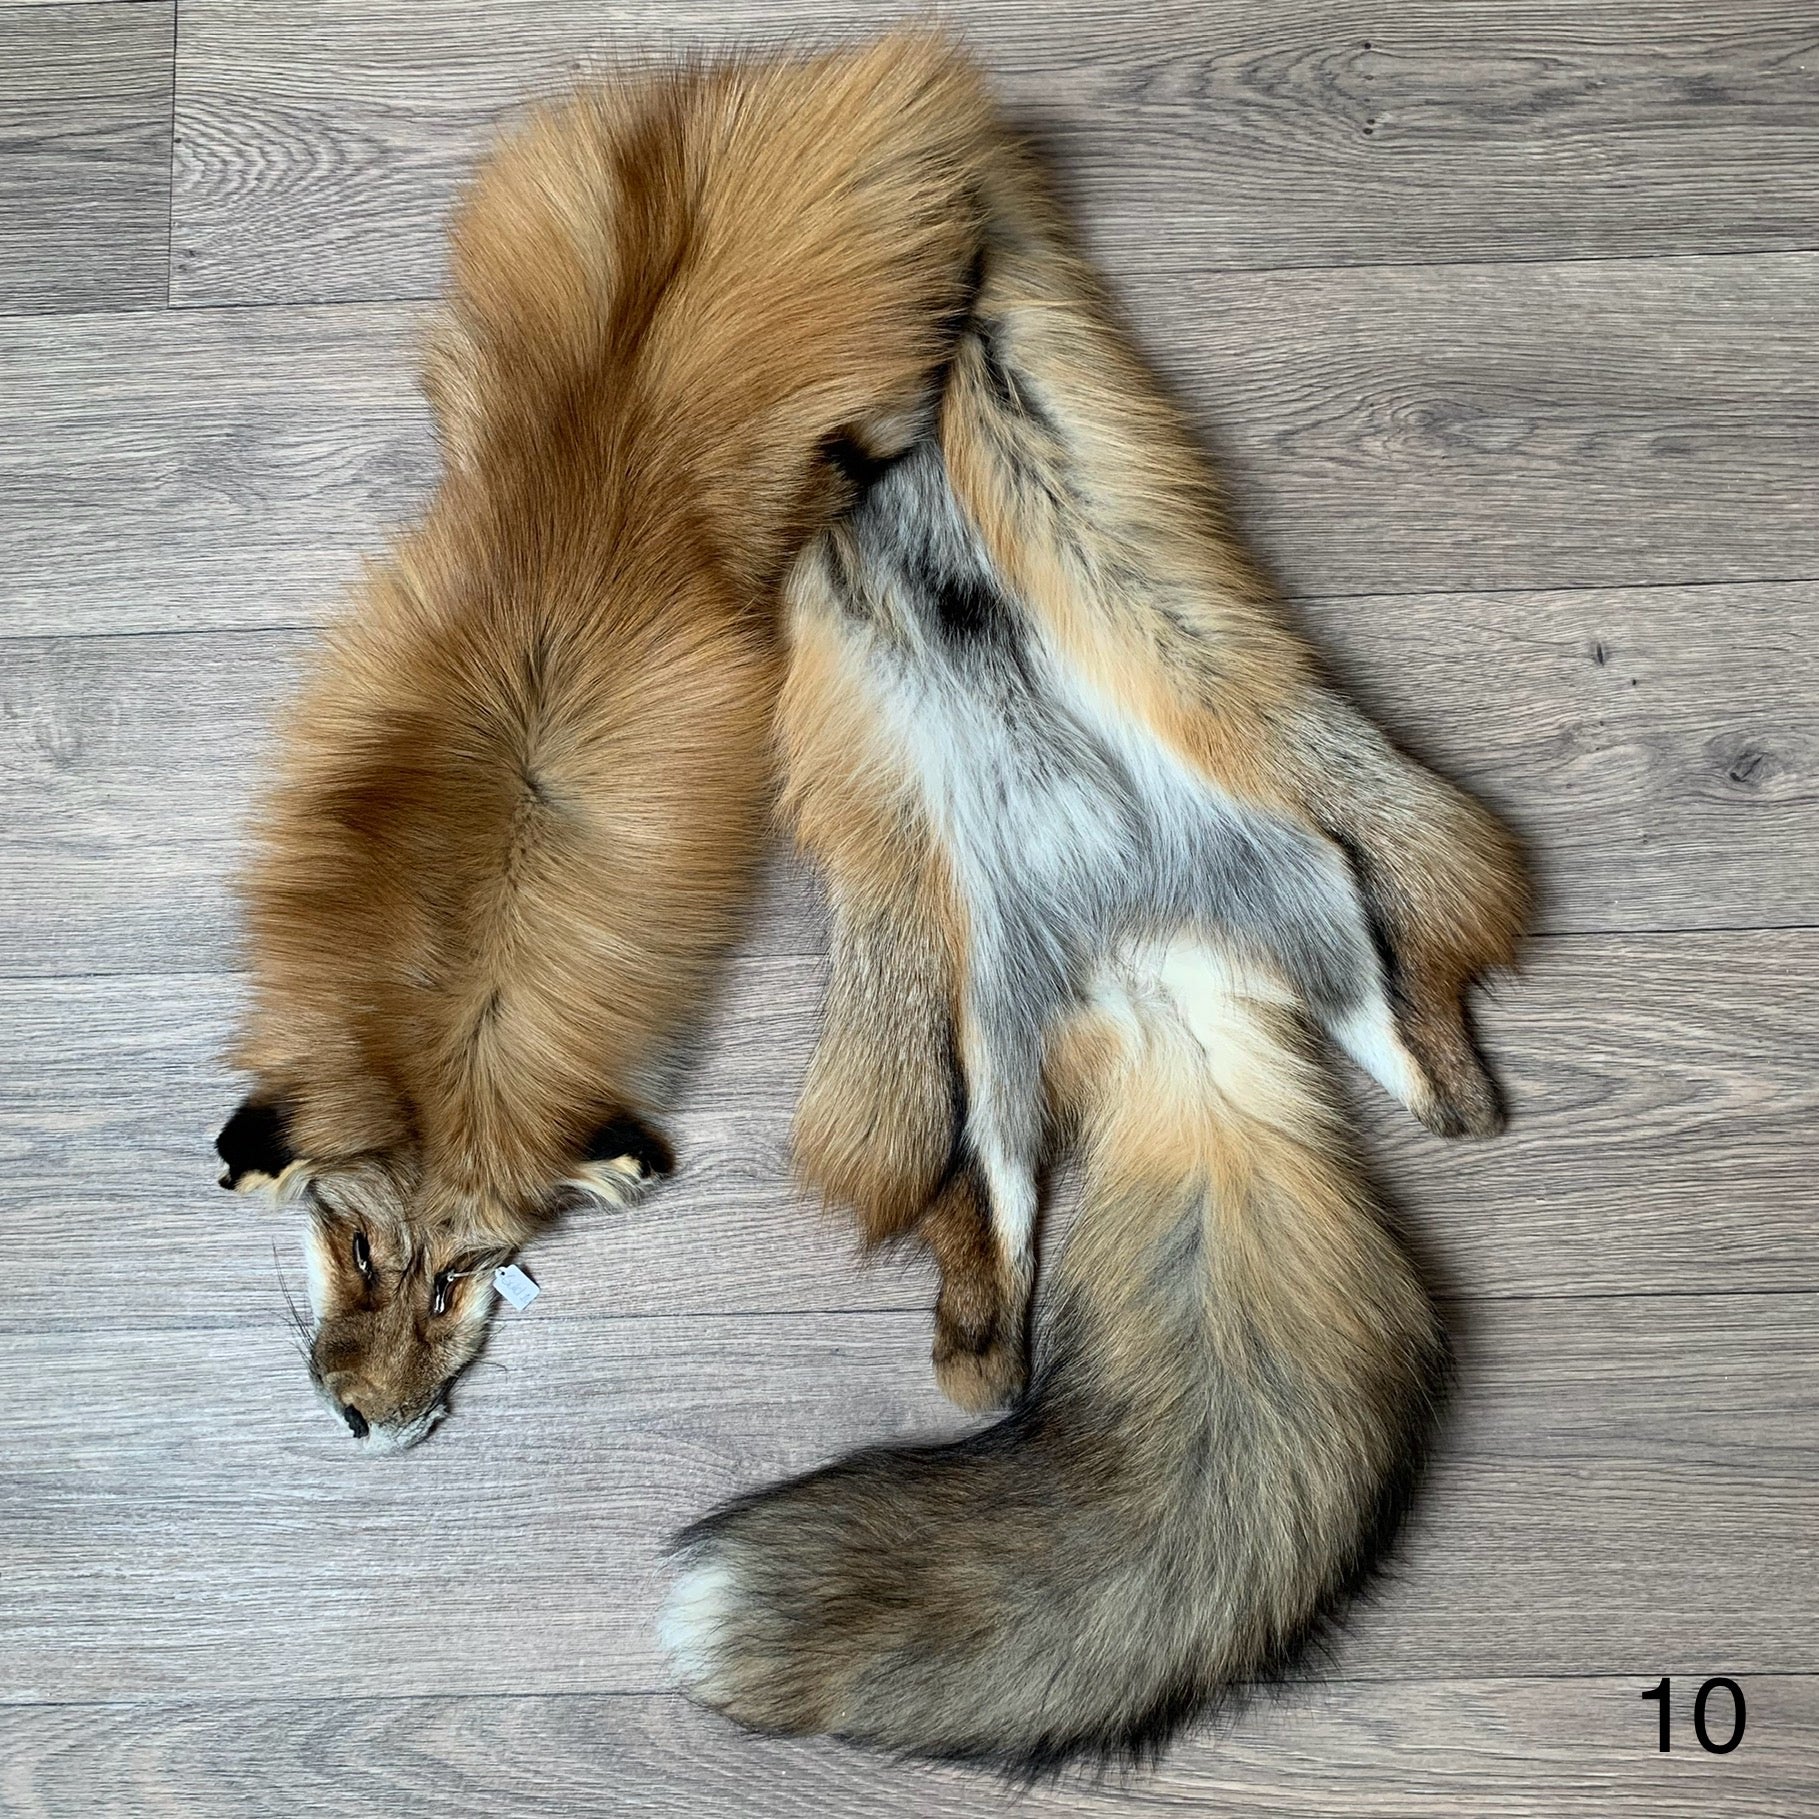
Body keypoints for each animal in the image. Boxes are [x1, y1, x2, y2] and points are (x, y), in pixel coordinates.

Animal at [661, 105, 1529, 1765]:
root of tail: (1152, 976)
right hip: (997, 1049)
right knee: (1006, 1203)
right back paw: (988, 1337)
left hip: (1291, 899)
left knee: (1372, 1022)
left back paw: (1437, 1082)